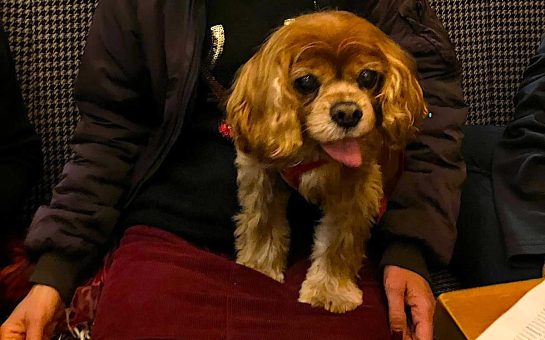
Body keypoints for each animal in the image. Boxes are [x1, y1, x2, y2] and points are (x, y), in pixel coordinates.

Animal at [224, 10, 424, 314]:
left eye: (367, 76)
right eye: (306, 81)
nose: (348, 113)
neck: (314, 151)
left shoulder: (354, 191)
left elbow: (337, 244)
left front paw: (330, 292)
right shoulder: (262, 176)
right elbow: (262, 225)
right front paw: (258, 268)